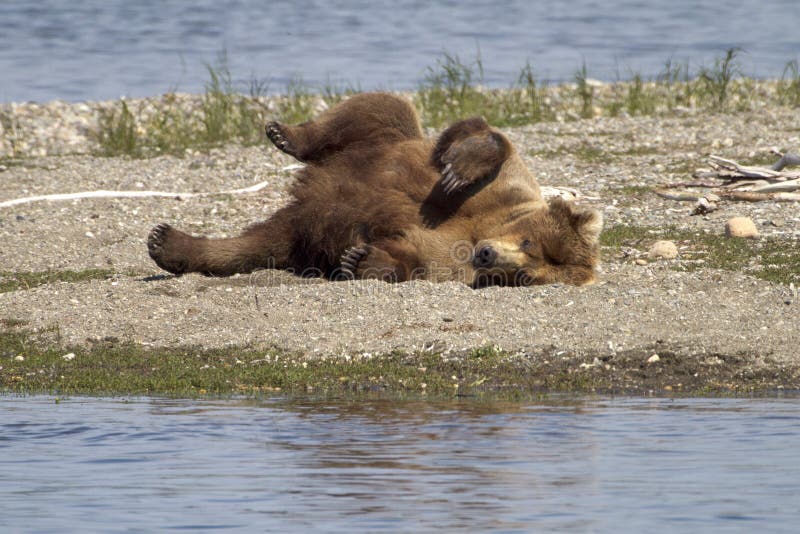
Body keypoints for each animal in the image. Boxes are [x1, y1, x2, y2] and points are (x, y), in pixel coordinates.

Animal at [147, 92, 602, 287]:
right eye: (528, 241)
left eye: (525, 275)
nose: (488, 256)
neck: (484, 227)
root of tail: (301, 209)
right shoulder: (505, 189)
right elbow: (487, 137)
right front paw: (461, 167)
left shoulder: (451, 258)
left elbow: (414, 257)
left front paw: (361, 260)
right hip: (383, 143)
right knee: (381, 107)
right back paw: (286, 134)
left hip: (299, 239)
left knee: (250, 247)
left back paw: (166, 243)